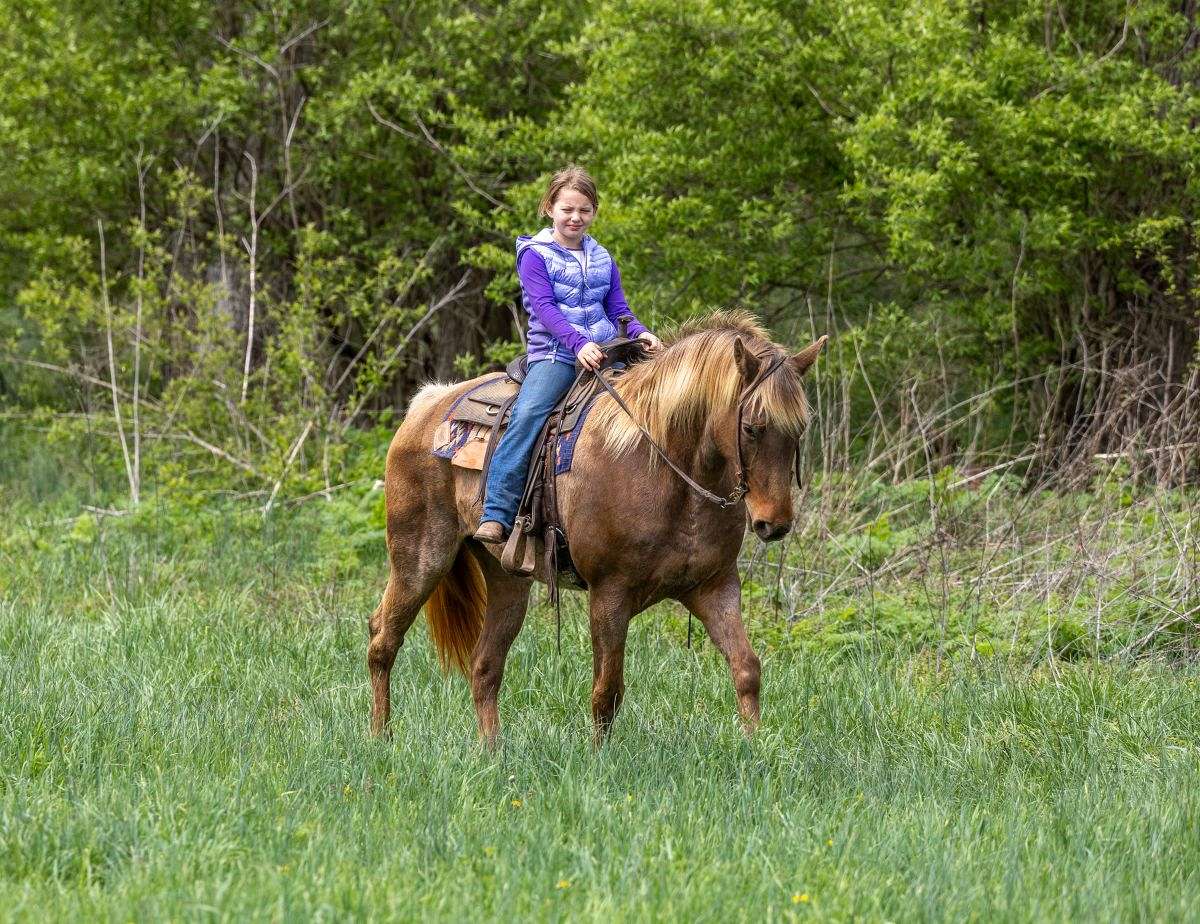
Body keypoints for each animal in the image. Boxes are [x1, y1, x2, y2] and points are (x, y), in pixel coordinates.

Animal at [368, 310, 826, 745]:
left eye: (800, 428)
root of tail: (425, 406)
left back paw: (492, 751)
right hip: (420, 560)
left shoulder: (714, 588)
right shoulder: (610, 594)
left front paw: (754, 748)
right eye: (751, 427)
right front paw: (599, 758)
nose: (774, 523)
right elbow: (607, 691)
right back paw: (380, 738)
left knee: (485, 667)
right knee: (382, 640)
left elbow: (746, 668)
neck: (663, 465)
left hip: (507, 578)